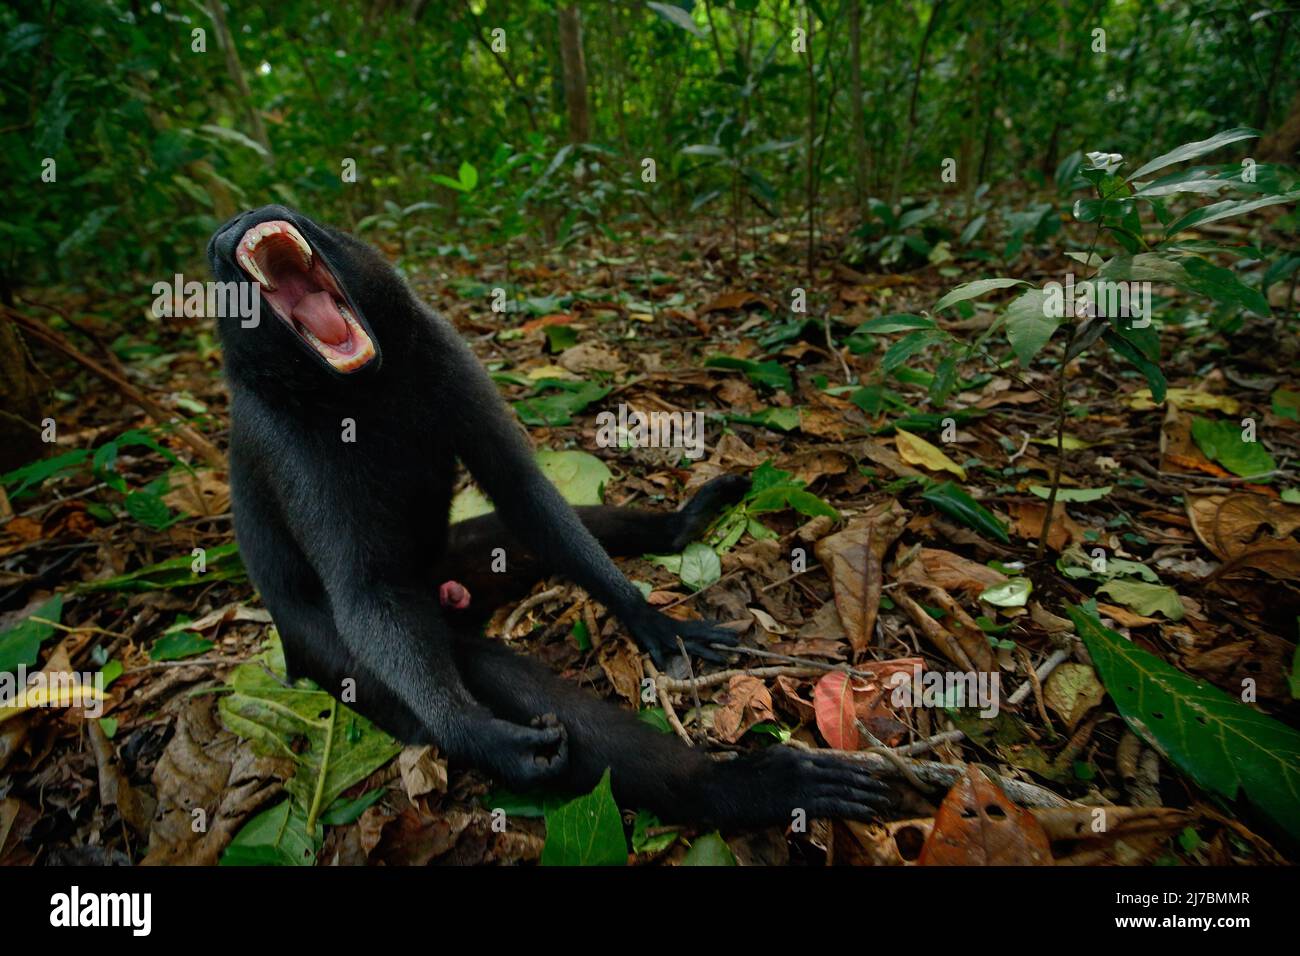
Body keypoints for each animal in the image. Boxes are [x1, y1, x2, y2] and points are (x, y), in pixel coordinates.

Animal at [207, 206, 892, 828]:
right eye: (214, 258)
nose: (238, 220)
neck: (360, 390)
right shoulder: (287, 442)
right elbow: (369, 590)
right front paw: (477, 735)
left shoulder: (439, 347)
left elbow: (521, 486)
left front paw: (646, 616)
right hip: (342, 666)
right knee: (512, 692)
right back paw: (745, 789)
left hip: (470, 554)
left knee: (544, 527)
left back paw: (680, 528)